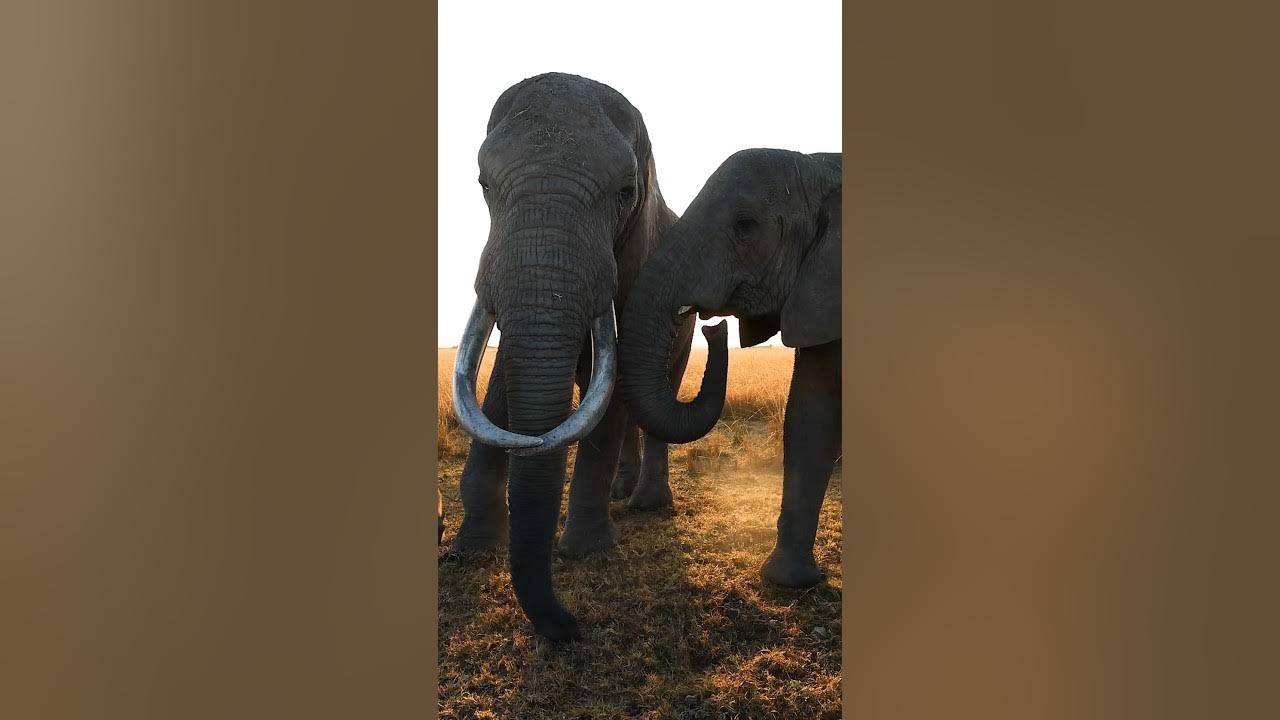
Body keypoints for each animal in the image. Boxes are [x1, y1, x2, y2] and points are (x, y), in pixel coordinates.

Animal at [447, 73, 695, 641]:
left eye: (626, 193)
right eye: (483, 184)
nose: (574, 627)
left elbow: (618, 385)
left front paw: (585, 552)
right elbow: (500, 380)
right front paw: (470, 547)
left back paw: (647, 504)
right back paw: (624, 494)